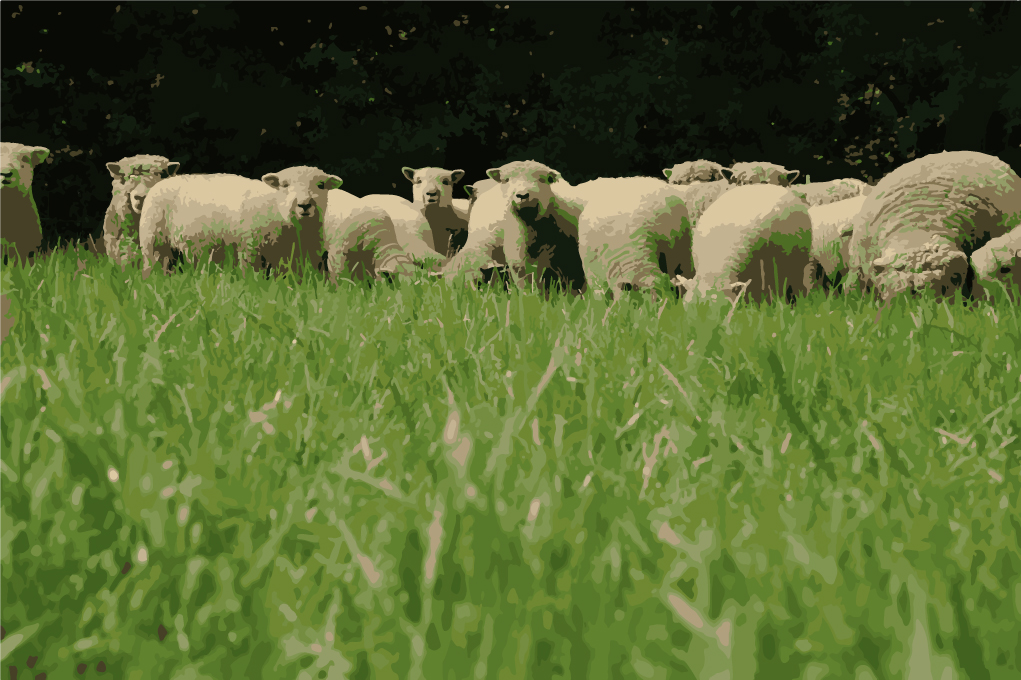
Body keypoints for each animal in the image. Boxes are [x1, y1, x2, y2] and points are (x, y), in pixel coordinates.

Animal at [139, 166, 342, 277]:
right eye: (284, 185)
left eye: (321, 185)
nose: (304, 204)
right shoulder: (250, 248)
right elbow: (251, 277)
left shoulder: (299, 258)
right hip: (154, 243)